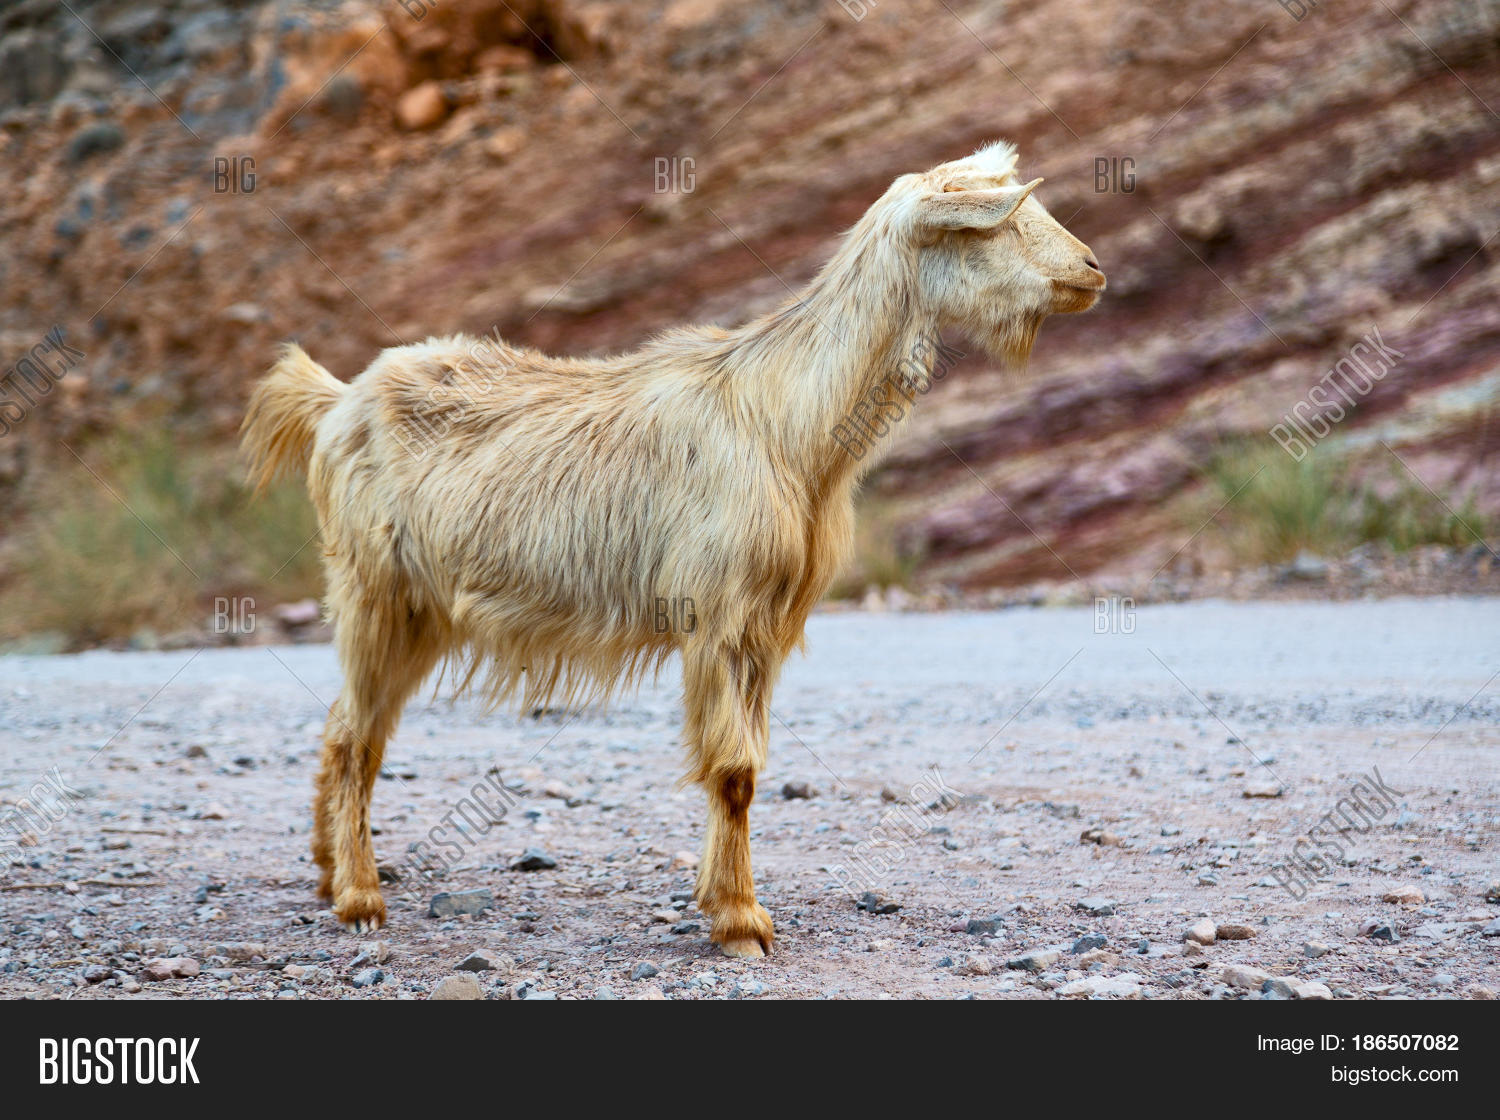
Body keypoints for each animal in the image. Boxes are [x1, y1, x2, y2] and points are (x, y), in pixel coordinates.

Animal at [241, 141, 1104, 957]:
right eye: (995, 224)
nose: (1092, 271)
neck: (786, 423)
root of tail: (336, 401)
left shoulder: (766, 626)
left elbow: (748, 766)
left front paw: (723, 902)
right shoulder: (719, 613)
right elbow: (733, 770)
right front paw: (741, 921)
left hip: (417, 610)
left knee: (348, 728)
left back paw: (329, 871)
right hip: (374, 589)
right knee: (356, 735)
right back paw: (359, 900)